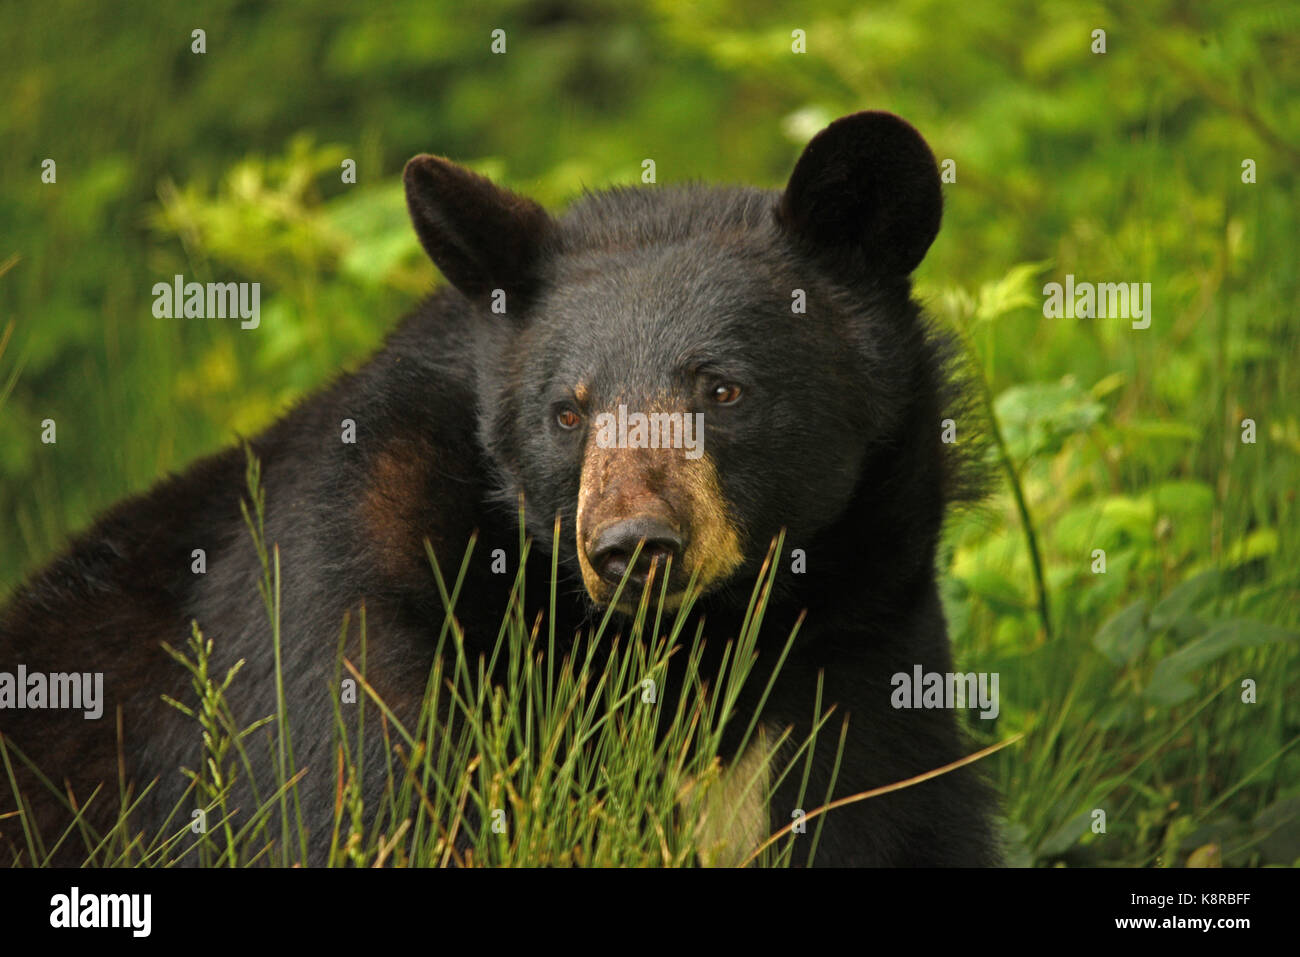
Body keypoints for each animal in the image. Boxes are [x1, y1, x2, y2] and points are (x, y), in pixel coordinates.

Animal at [0, 110, 998, 867]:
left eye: (722, 389)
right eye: (567, 411)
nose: (633, 547)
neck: (691, 648)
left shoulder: (864, 638)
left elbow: (887, 814)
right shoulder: (368, 614)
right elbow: (355, 801)